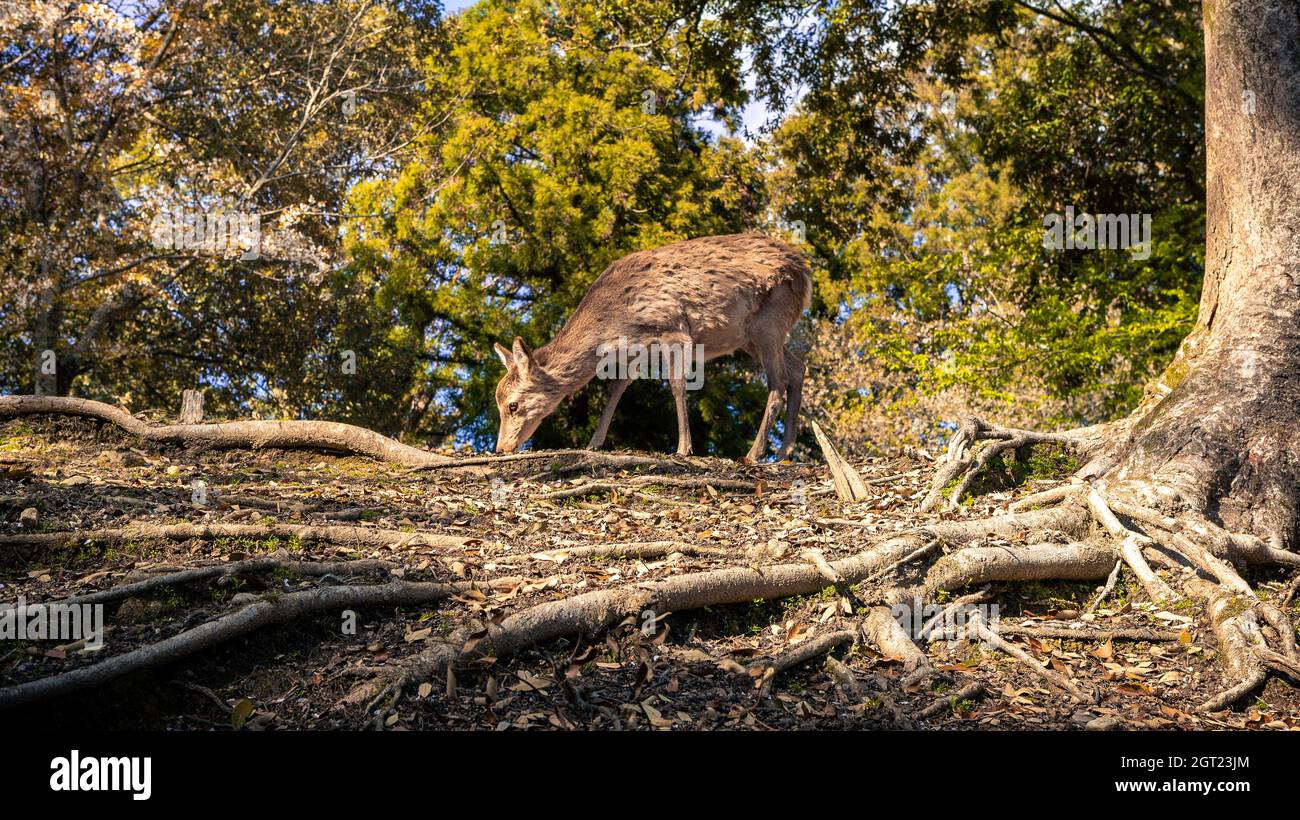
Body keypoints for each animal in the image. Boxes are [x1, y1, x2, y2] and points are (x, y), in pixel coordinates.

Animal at [493, 232, 812, 461]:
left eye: (513, 405)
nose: (501, 448)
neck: (613, 325)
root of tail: (805, 274)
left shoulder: (674, 331)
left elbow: (677, 386)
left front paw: (683, 448)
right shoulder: (636, 351)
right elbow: (616, 389)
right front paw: (594, 443)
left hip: (769, 323)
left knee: (778, 384)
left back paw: (754, 453)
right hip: (750, 336)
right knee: (798, 369)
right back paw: (784, 452)